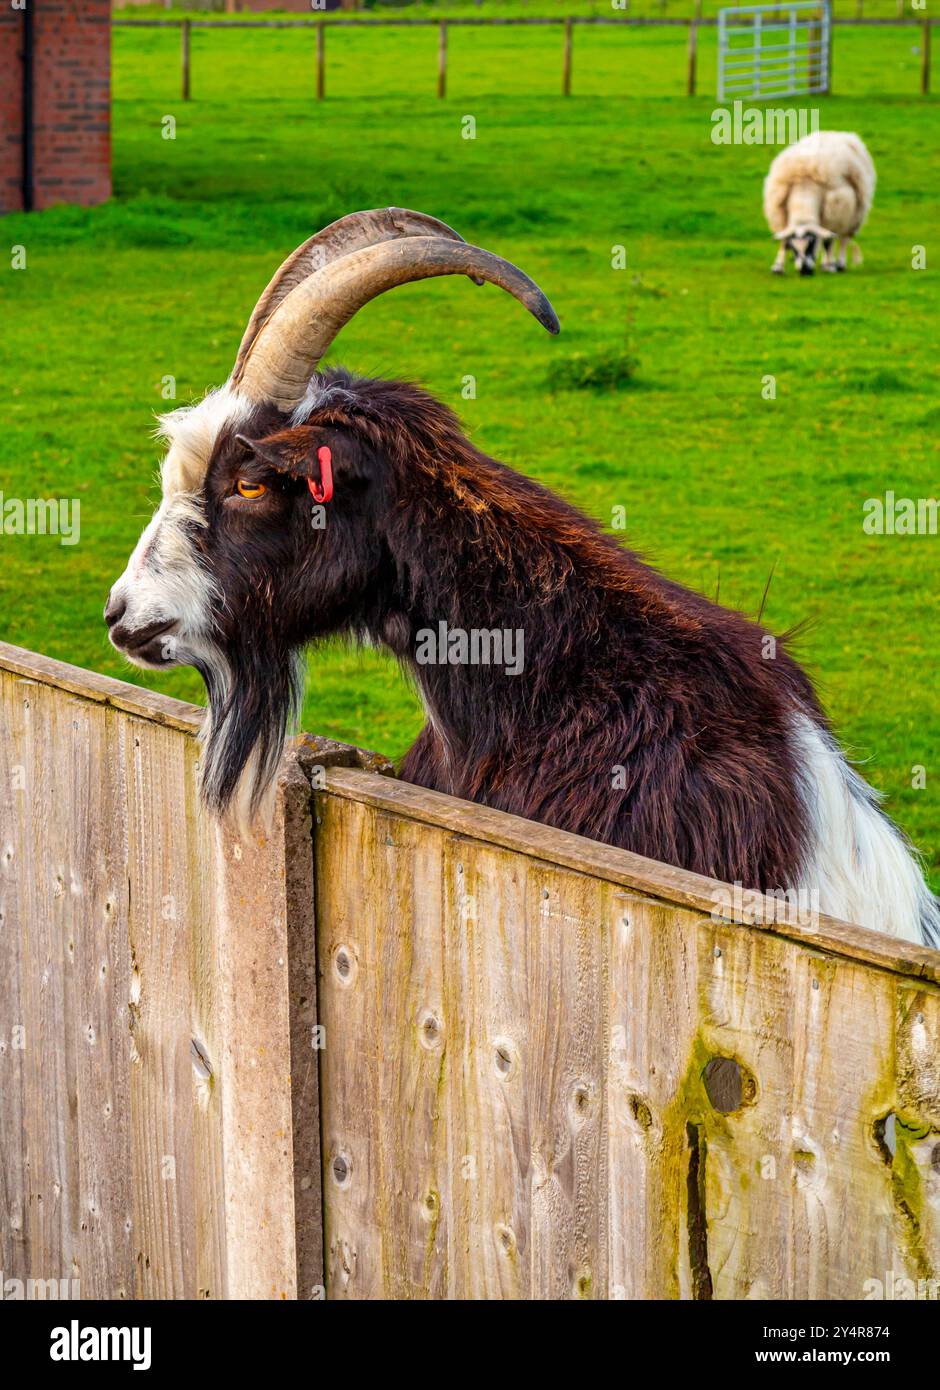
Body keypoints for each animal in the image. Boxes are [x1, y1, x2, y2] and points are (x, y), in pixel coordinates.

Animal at [764, 131, 876, 275]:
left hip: (853, 215)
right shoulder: (780, 216)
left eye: (811, 244)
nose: (805, 270)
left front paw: (831, 266)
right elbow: (784, 241)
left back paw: (838, 264)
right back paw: (825, 264)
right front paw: (778, 267)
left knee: (843, 239)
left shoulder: (833, 215)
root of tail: (835, 133)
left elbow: (828, 242)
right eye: (794, 248)